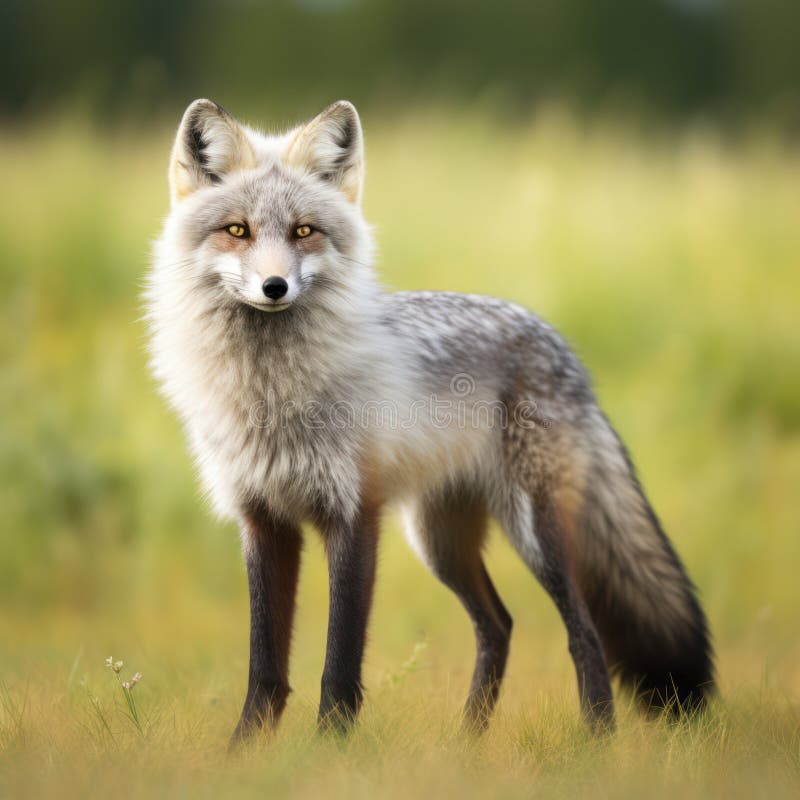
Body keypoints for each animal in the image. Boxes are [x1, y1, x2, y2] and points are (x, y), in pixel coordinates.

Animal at [145, 99, 714, 742]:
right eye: (237, 230)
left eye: (303, 231)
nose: (274, 286)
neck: (272, 397)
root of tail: (563, 347)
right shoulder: (263, 519)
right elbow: (265, 666)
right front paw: (248, 751)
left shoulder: (355, 513)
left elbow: (339, 663)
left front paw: (329, 748)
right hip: (439, 542)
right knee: (499, 625)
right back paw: (467, 742)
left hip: (532, 530)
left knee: (583, 632)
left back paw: (597, 741)